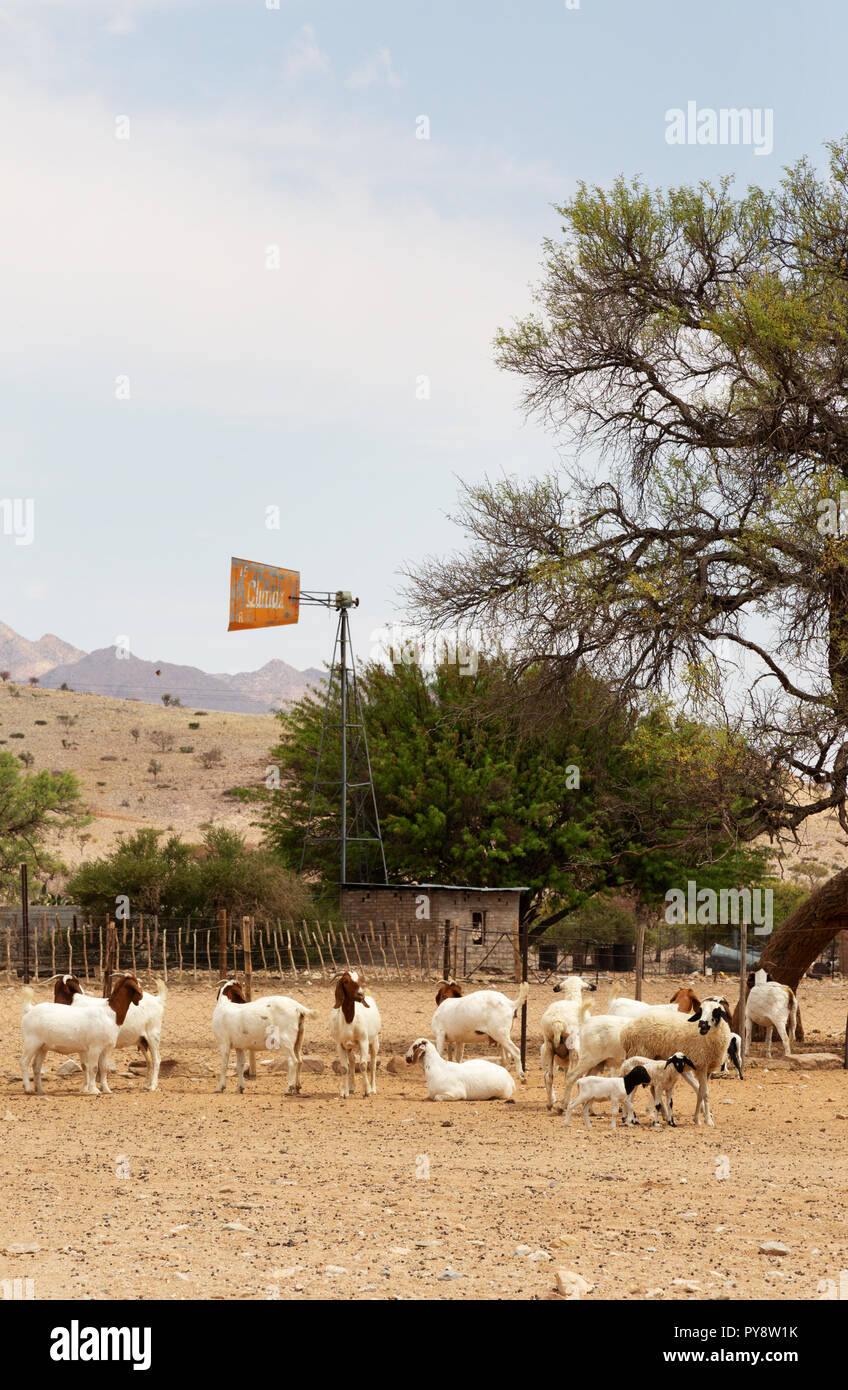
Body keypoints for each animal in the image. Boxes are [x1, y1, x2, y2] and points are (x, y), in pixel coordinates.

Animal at [329, 970, 381, 1099]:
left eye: (360, 980)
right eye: (346, 981)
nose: (360, 994)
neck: (349, 1022)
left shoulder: (364, 1041)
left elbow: (363, 1065)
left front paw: (367, 1091)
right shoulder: (340, 1045)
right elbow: (344, 1068)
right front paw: (344, 1092)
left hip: (375, 1040)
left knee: (372, 1064)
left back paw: (373, 1089)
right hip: (349, 1047)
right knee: (352, 1061)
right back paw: (352, 1088)